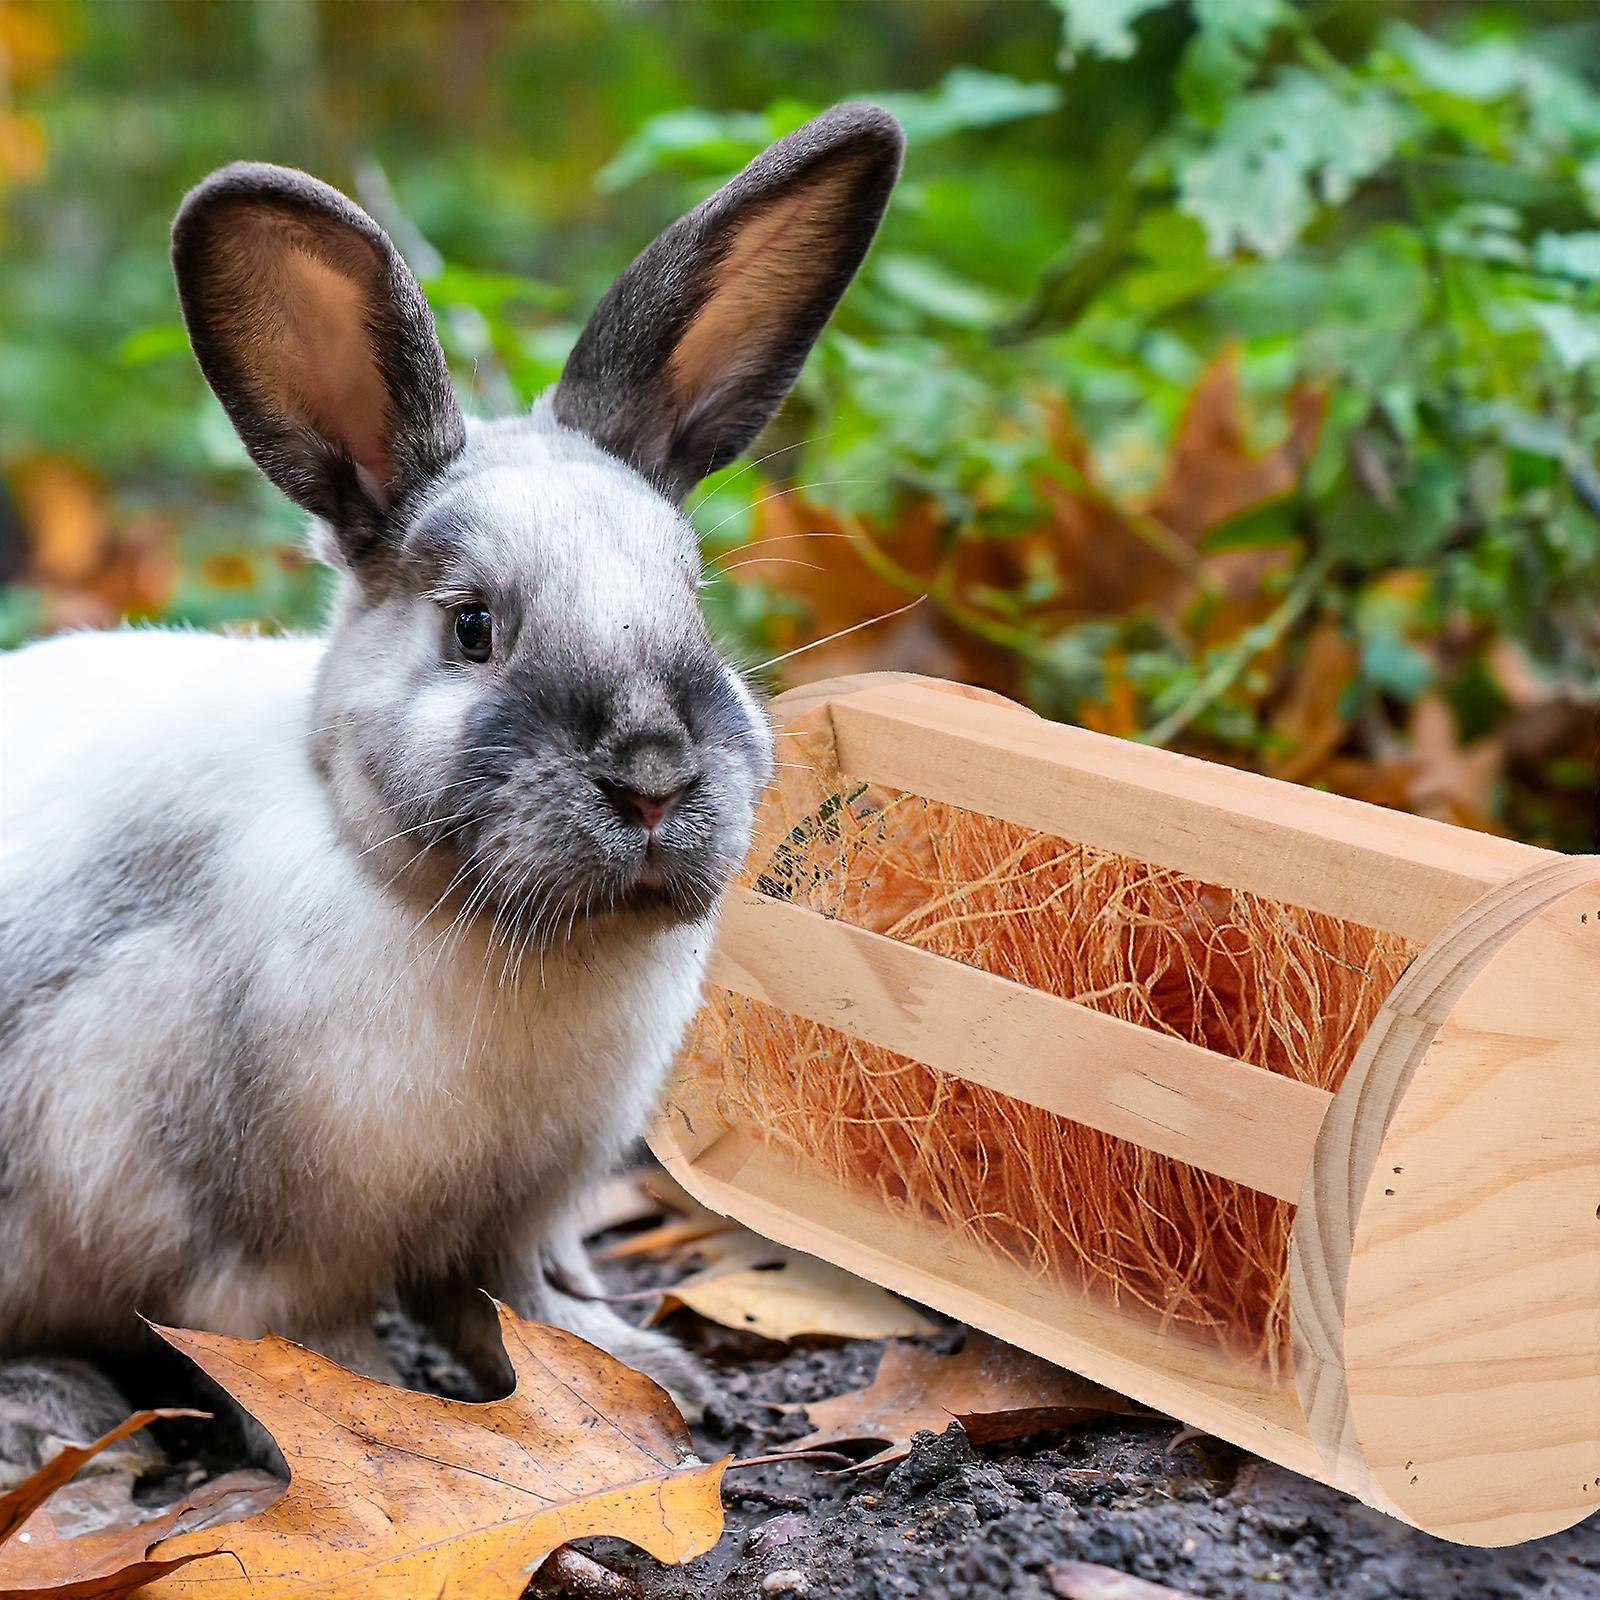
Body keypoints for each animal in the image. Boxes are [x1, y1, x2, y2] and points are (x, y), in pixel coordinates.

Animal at [0, 103, 903, 1471]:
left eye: (691, 599)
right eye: (472, 626)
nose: (652, 775)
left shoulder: (510, 1220)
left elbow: (512, 1311)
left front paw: (648, 1377)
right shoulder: (263, 1264)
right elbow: (309, 1354)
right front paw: (381, 1434)